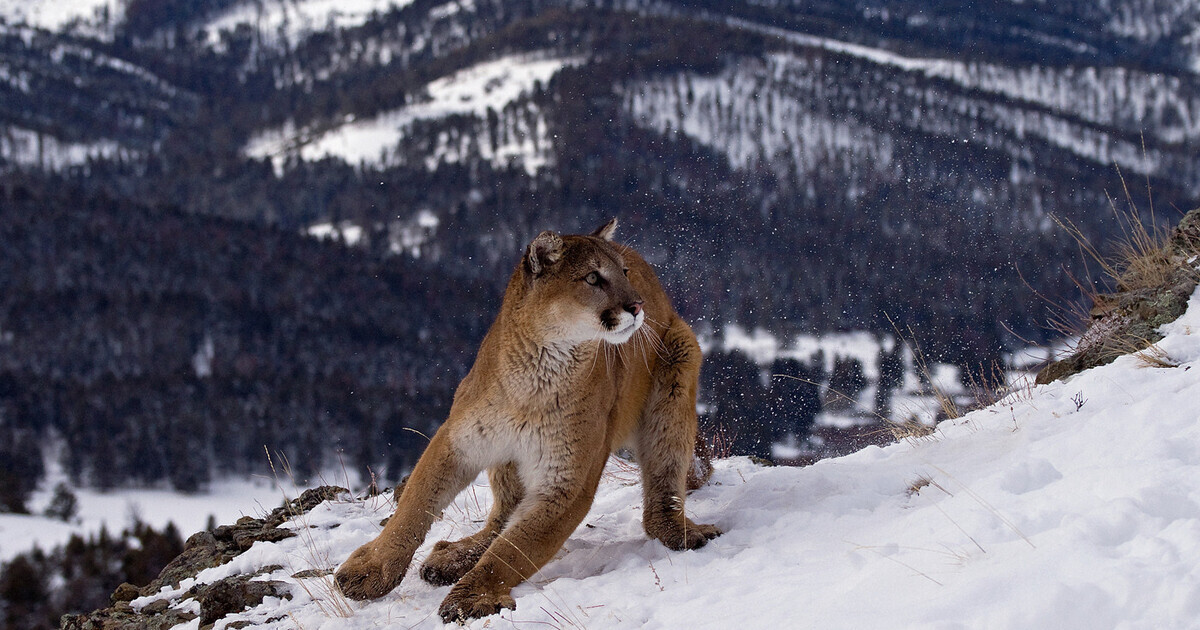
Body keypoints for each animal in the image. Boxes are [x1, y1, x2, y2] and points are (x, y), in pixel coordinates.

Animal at [334, 218, 721, 622]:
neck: (537, 376)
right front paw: (371, 572)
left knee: (663, 477)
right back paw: (453, 557)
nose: (637, 305)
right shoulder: (457, 441)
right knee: (502, 517)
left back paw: (680, 532)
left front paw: (472, 597)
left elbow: (515, 549)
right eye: (593, 278)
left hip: (676, 369)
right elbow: (413, 508)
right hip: (508, 458)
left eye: (624, 273)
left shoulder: (566, 482)